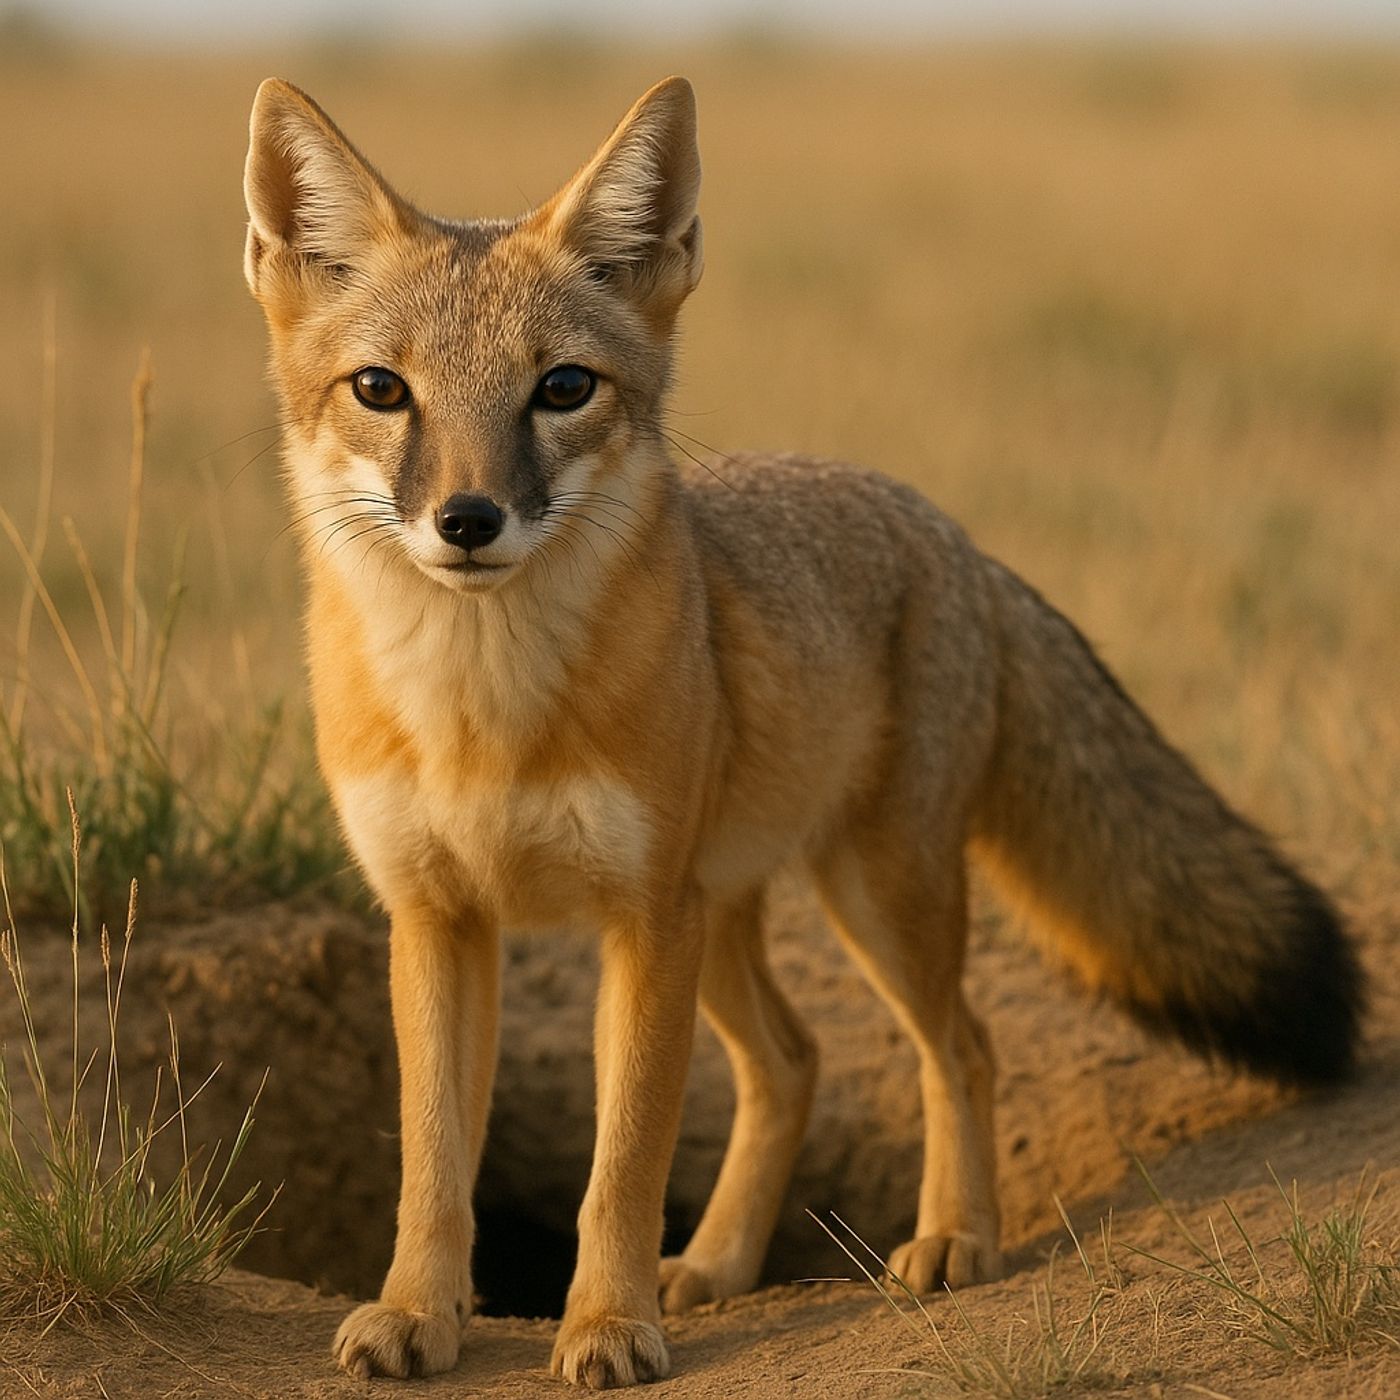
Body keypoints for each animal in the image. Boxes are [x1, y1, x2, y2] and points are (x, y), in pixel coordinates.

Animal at [242, 75, 1362, 1389]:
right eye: (382, 389)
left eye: (561, 388)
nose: (468, 520)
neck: (484, 713)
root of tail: (949, 532)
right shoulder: (434, 917)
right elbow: (431, 1162)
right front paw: (418, 1311)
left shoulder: (640, 918)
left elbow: (620, 1164)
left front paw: (607, 1322)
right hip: (727, 920)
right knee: (791, 1061)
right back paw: (721, 1263)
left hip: (870, 896)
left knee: (961, 1047)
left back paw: (952, 1237)